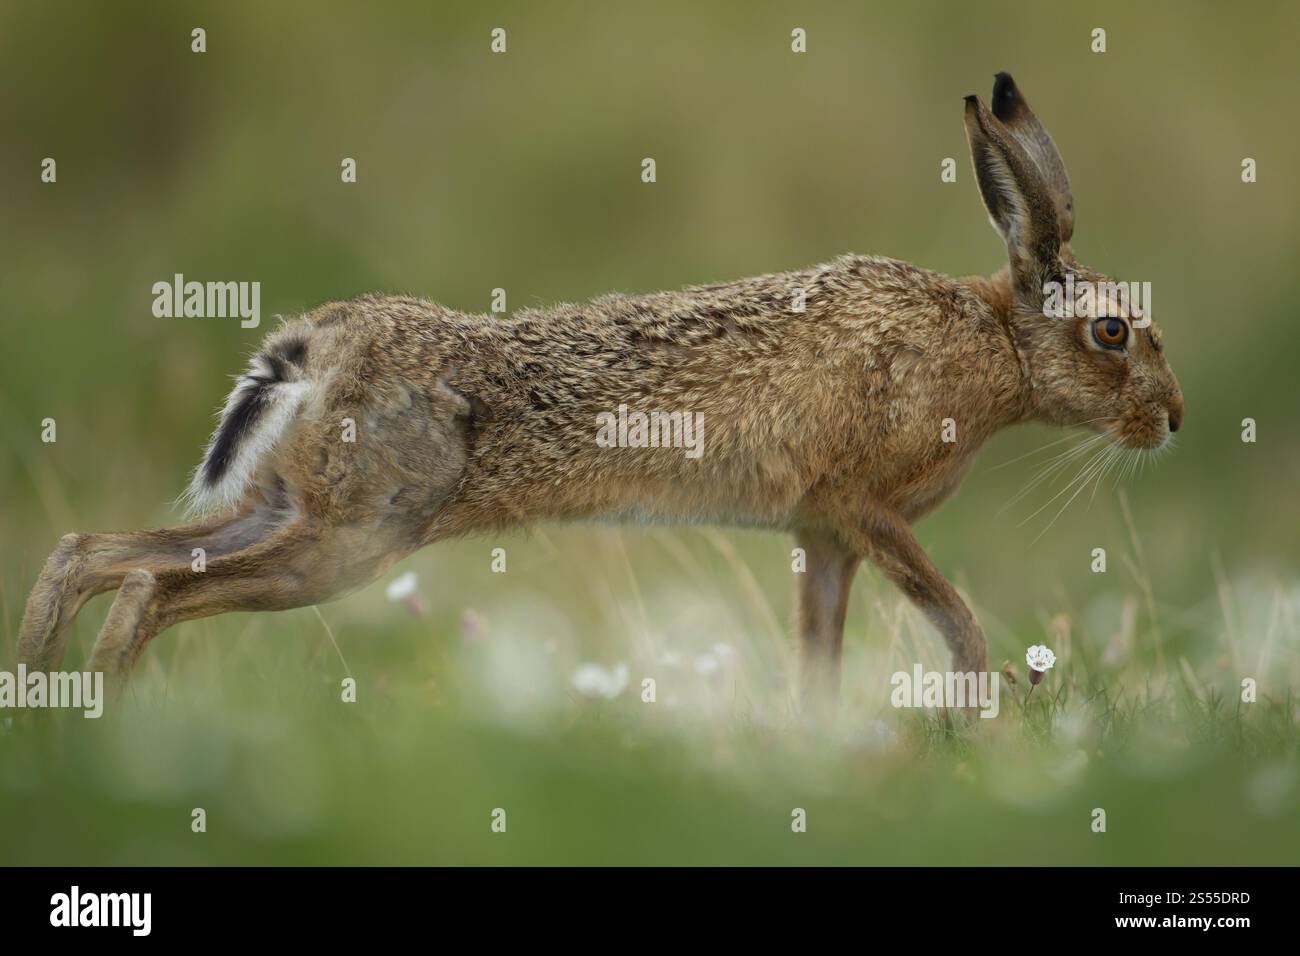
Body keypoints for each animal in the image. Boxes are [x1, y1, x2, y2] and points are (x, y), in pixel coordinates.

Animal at [17, 73, 1182, 707]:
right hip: (350, 539)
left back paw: (47, 715)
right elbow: (959, 624)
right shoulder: (864, 509)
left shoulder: (823, 538)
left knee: (90, 556)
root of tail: (319, 346)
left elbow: (817, 655)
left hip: (287, 509)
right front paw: (972, 719)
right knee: (152, 591)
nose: (1172, 418)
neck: (991, 345)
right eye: (1113, 332)